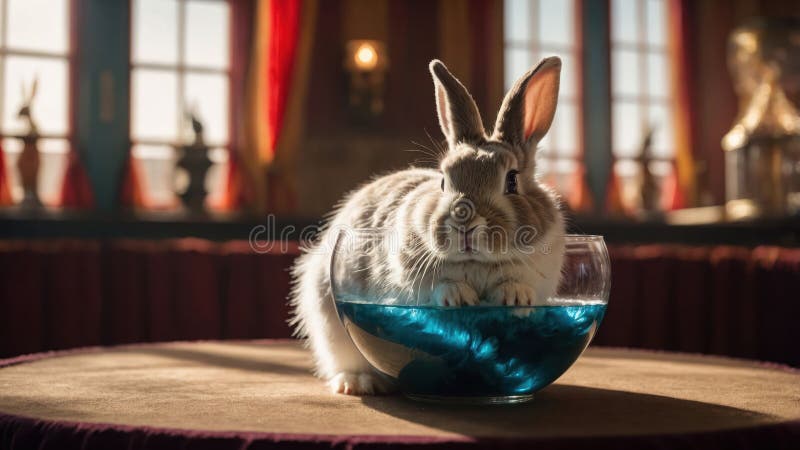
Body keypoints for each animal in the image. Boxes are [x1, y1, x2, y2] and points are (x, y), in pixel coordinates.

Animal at [289, 57, 566, 395]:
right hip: (329, 321)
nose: (464, 222)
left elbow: (519, 284)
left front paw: (514, 297)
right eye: (444, 180)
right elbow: (439, 287)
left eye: (511, 180)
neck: (475, 262)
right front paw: (458, 297)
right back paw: (359, 383)